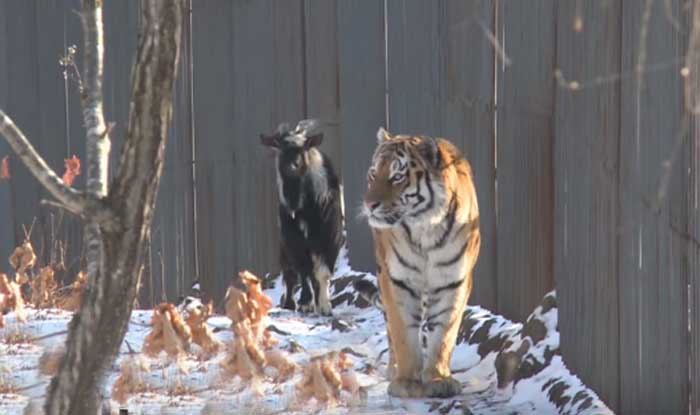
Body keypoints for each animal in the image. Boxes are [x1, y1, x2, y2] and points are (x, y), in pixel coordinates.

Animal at [260, 120, 344, 316]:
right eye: (280, 146)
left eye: (303, 147)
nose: (293, 166)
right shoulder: (293, 240)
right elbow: (303, 271)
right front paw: (306, 302)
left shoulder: (330, 238)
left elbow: (324, 273)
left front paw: (325, 306)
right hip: (284, 247)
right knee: (290, 274)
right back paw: (290, 303)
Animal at [363, 127, 480, 398]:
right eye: (373, 174)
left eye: (397, 177)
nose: (369, 205)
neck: (425, 227)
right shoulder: (397, 280)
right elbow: (402, 332)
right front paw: (405, 381)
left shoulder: (453, 281)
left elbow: (444, 333)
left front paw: (438, 378)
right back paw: (394, 369)